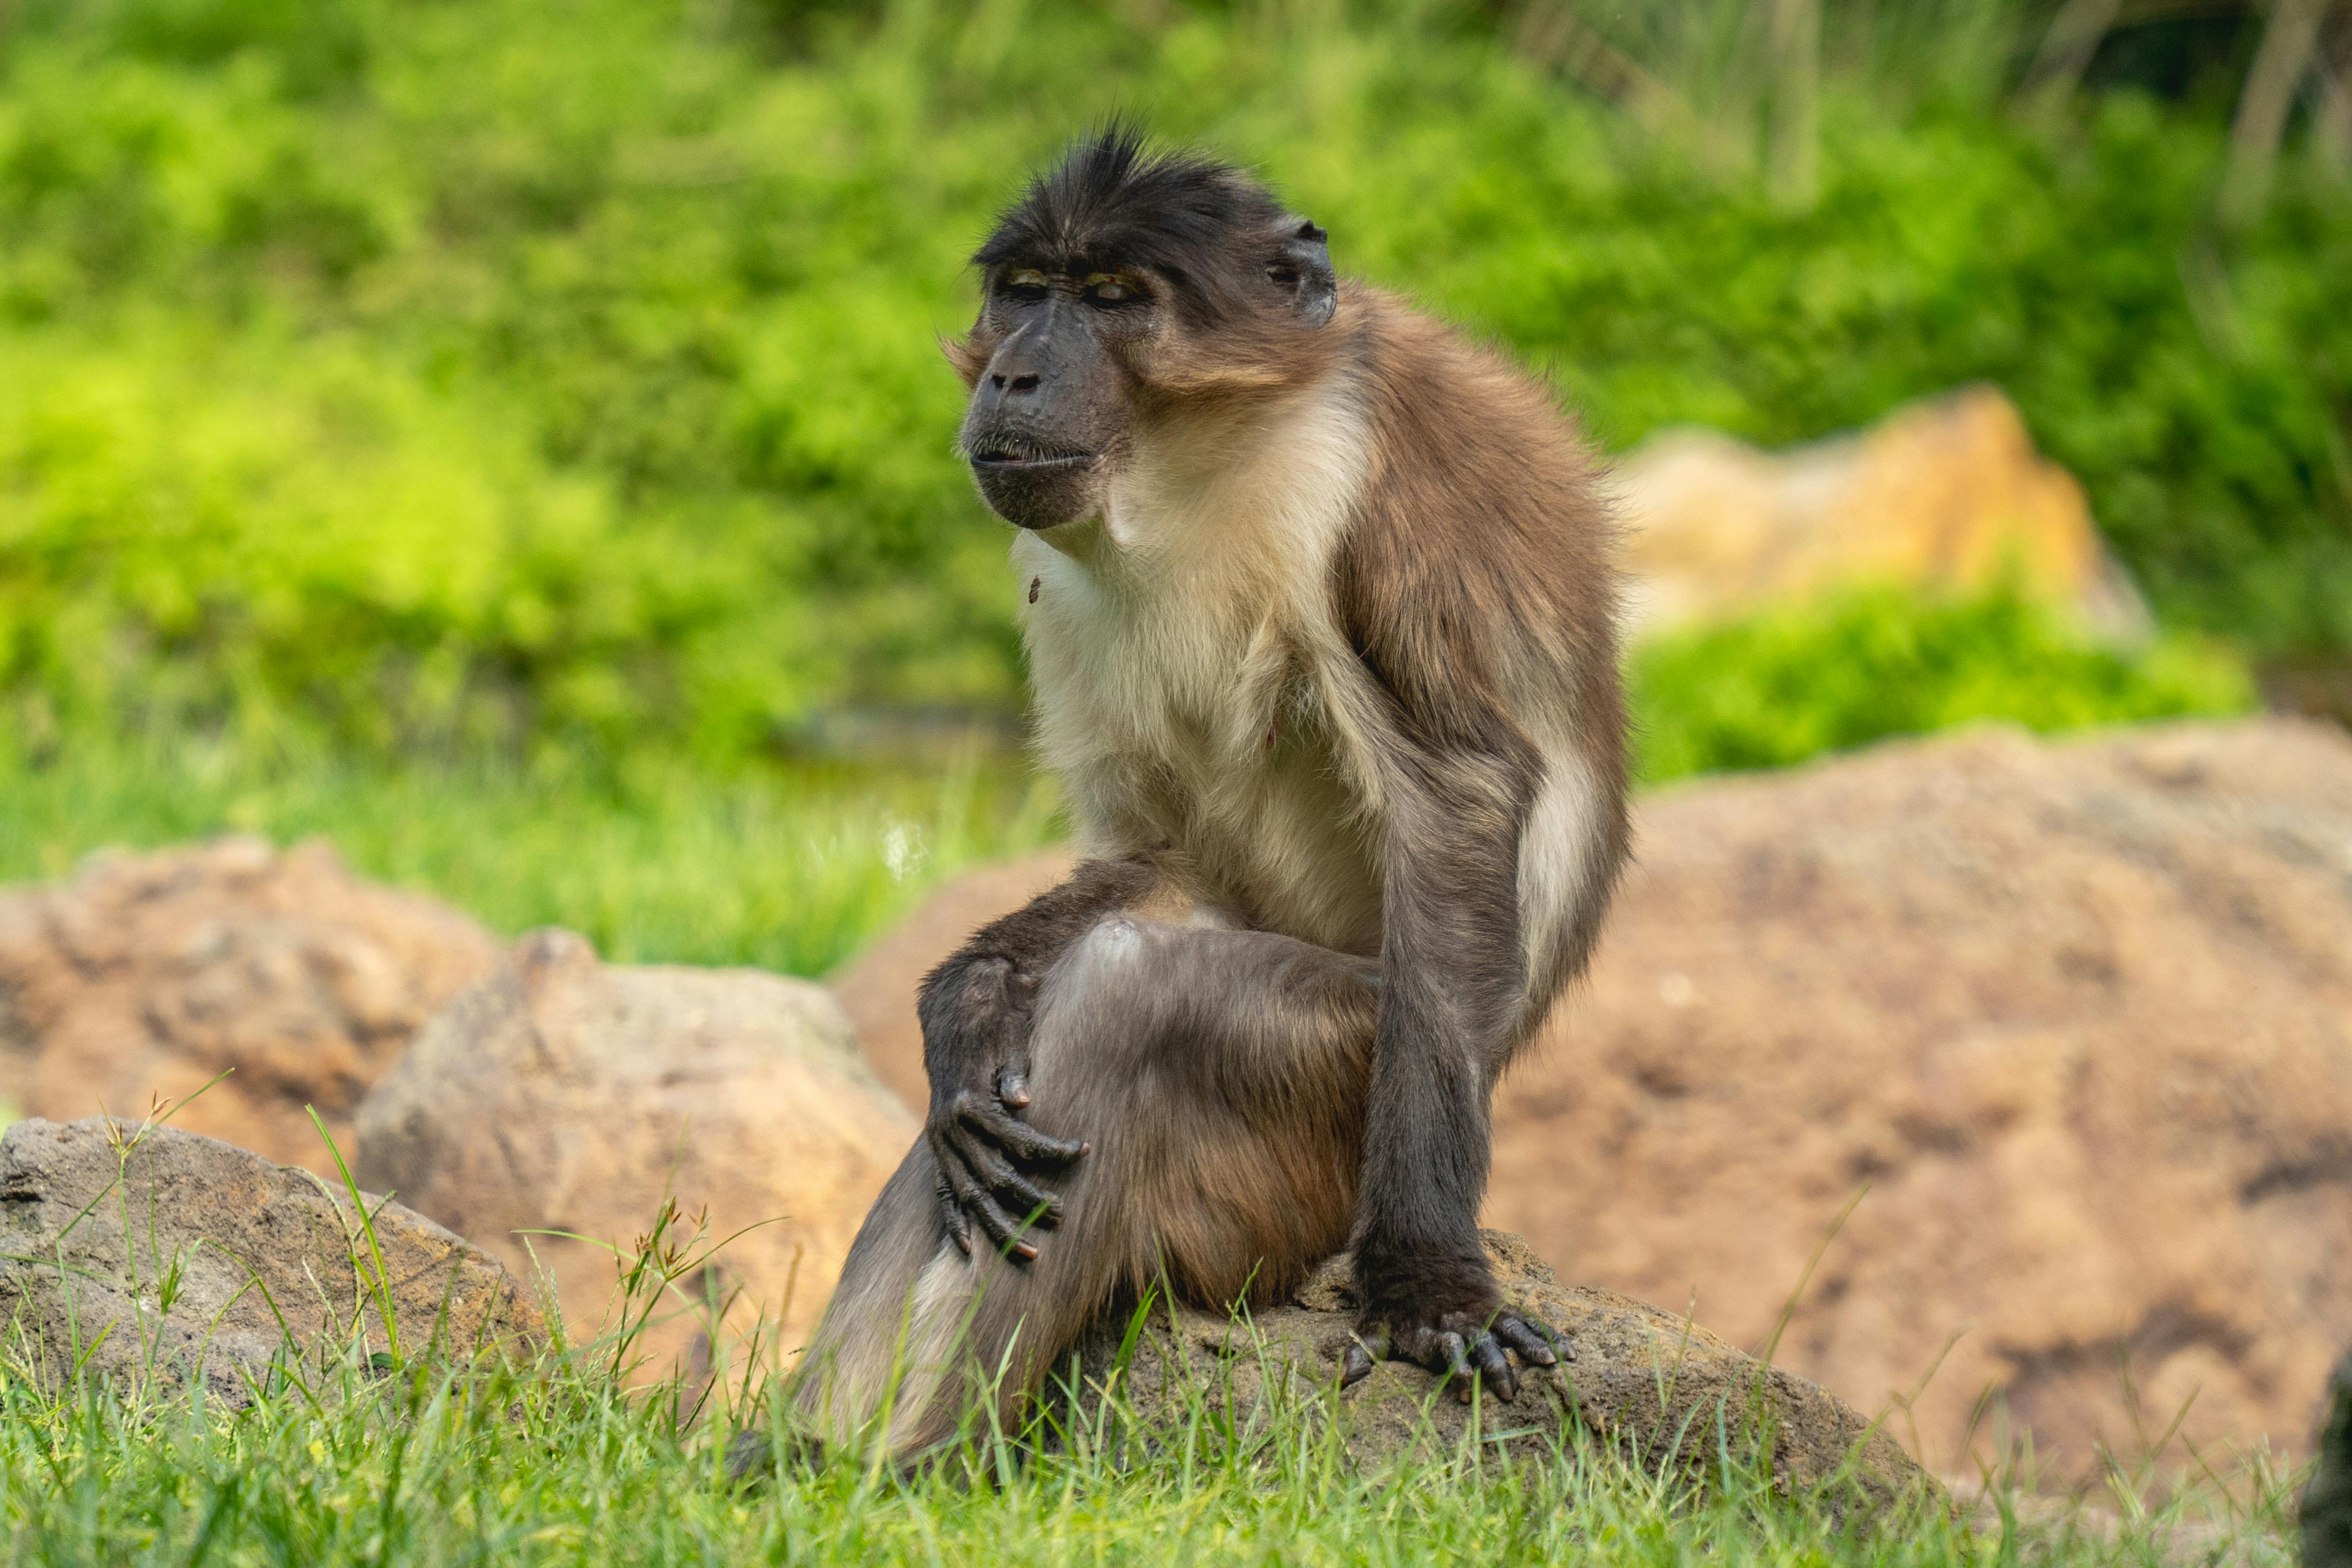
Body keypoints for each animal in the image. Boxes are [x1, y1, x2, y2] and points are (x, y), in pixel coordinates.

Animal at [789, 128, 1628, 1458]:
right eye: (1027, 293)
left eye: (1112, 298)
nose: (1016, 375)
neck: (1196, 465)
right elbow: (1159, 853)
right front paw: (967, 1000)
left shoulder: (1363, 478)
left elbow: (1461, 796)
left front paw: (1430, 1284)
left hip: (1317, 1129)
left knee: (1135, 990)